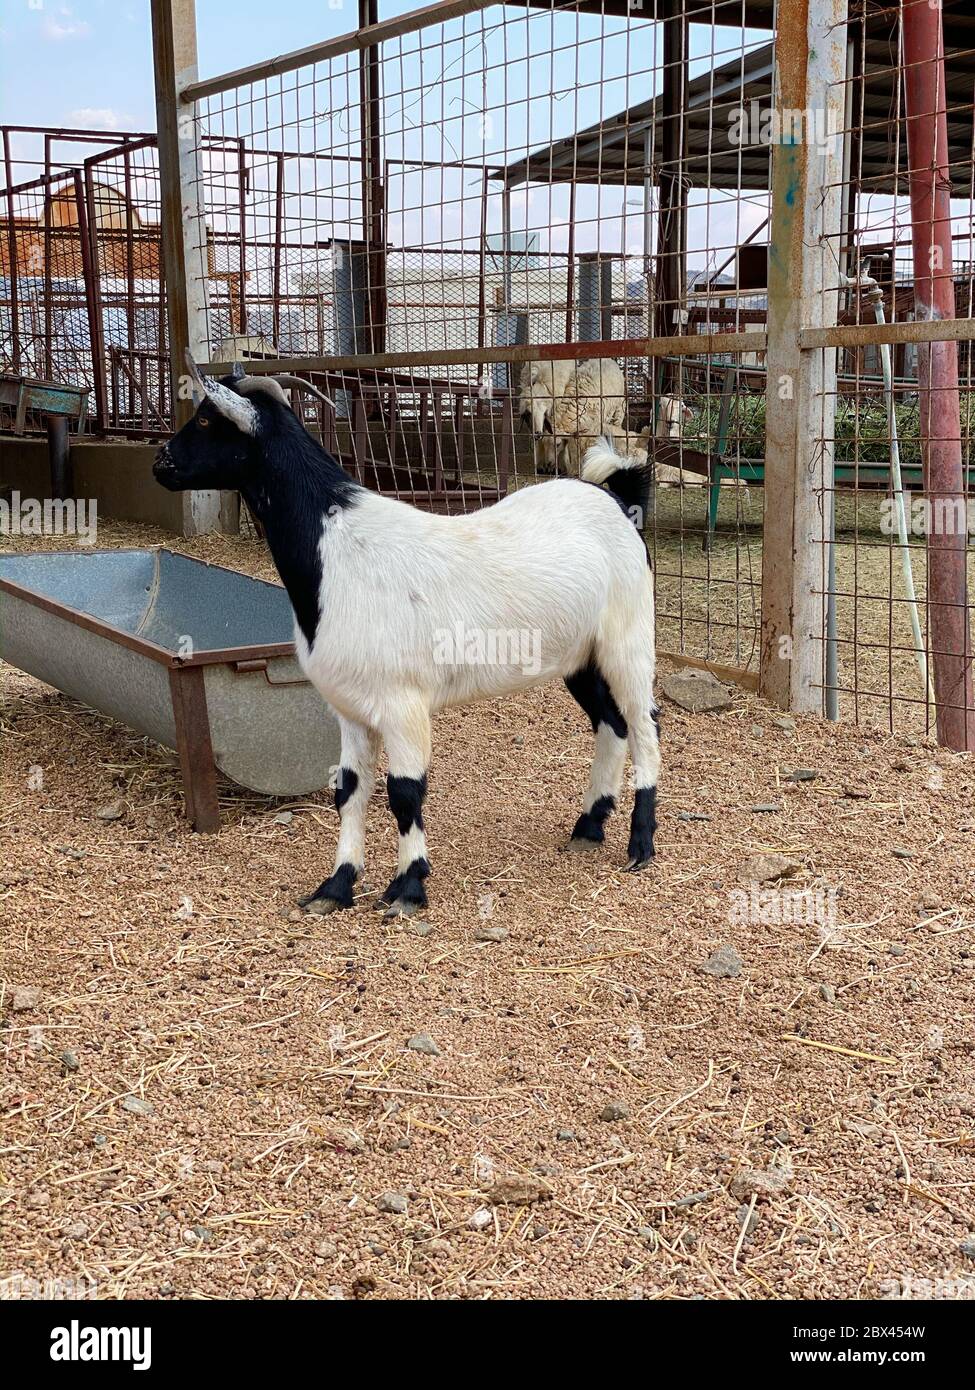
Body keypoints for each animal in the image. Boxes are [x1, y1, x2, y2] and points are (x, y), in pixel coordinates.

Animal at [154, 355, 661, 918]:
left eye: (205, 419)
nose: (160, 463)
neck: (336, 550)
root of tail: (618, 501)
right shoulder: (348, 707)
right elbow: (350, 790)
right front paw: (335, 887)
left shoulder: (403, 704)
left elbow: (404, 793)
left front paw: (408, 886)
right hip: (579, 656)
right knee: (612, 723)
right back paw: (589, 826)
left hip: (629, 639)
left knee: (644, 725)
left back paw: (641, 845)